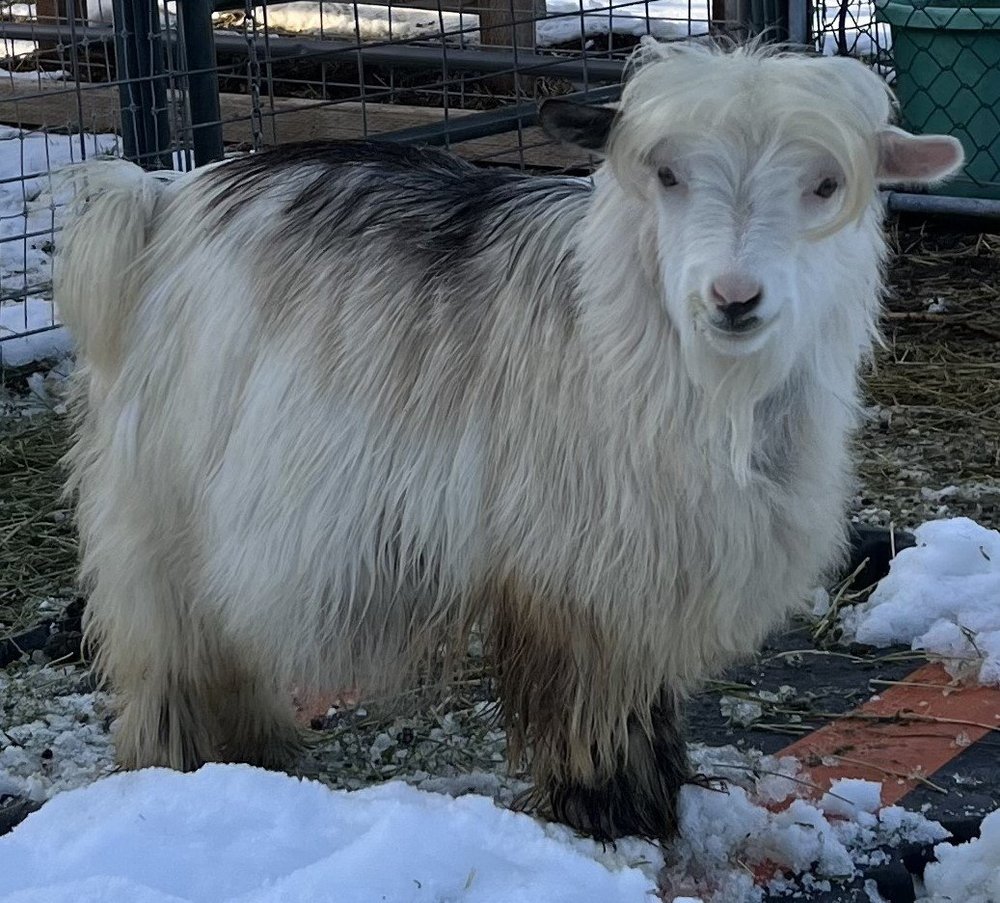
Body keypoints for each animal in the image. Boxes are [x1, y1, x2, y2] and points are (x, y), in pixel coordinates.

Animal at [56, 39, 963, 841]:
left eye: (824, 184)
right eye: (668, 174)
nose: (734, 297)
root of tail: (162, 198)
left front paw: (656, 787)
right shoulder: (578, 572)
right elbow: (591, 693)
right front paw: (612, 806)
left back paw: (255, 744)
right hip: (157, 500)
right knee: (170, 640)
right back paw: (180, 759)